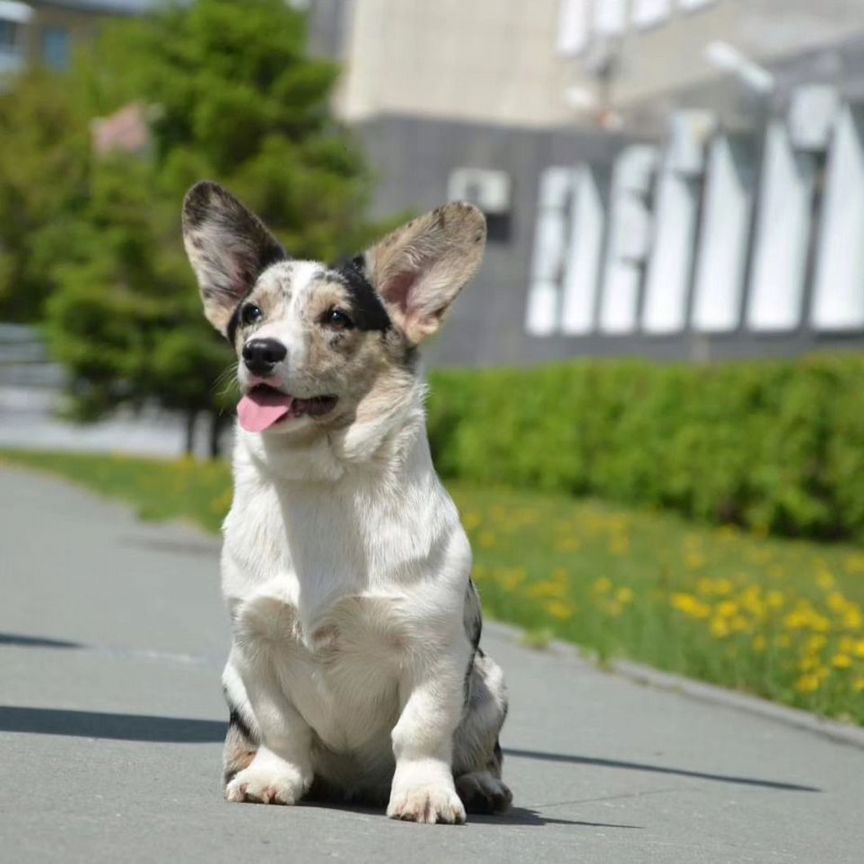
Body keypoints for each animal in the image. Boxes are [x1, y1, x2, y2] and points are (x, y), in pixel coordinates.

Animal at [179, 181, 510, 824]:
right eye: (252, 313)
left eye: (337, 316)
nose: (260, 352)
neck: (322, 479)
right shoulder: (255, 647)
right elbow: (282, 728)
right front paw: (272, 779)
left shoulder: (435, 653)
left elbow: (422, 730)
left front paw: (425, 795)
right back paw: (246, 769)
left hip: (490, 681)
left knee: (480, 751)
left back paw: (480, 785)